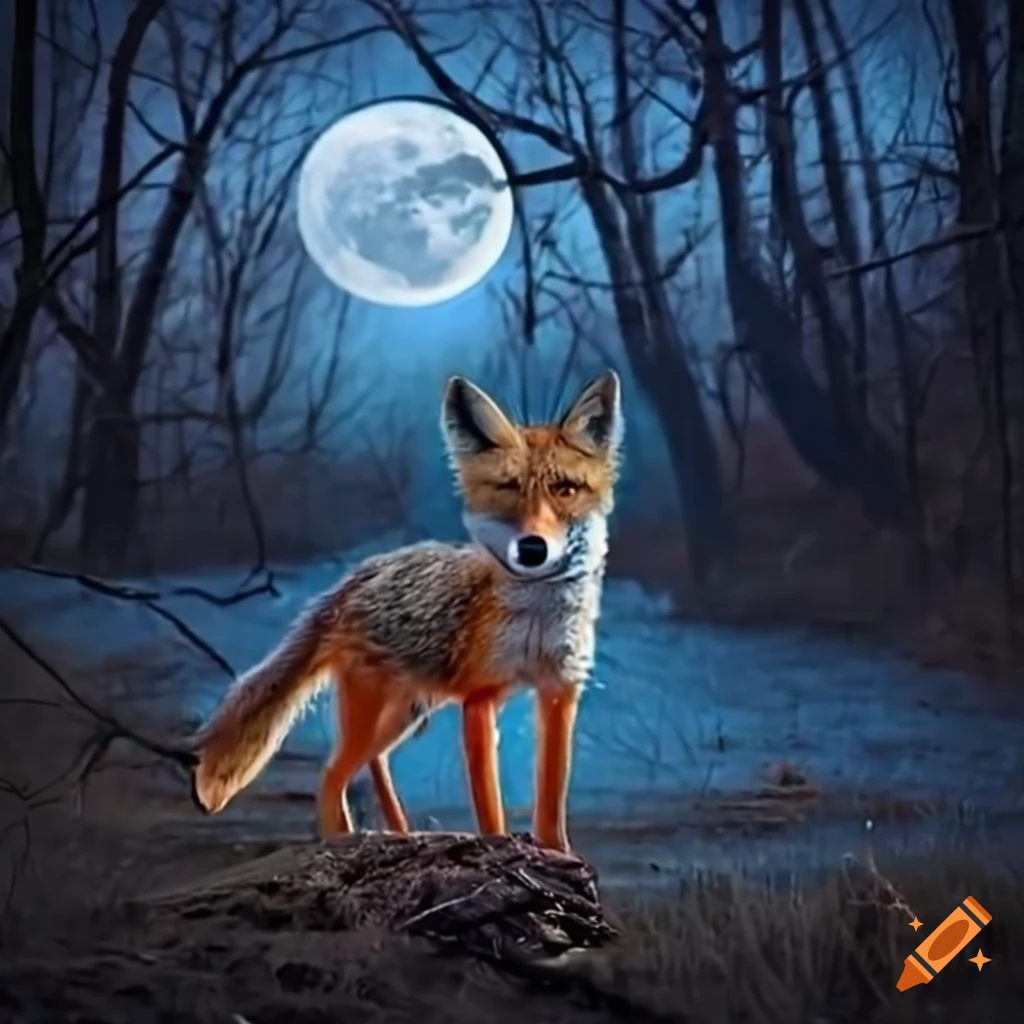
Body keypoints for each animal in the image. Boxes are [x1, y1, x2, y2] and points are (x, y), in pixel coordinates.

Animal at [190, 369, 623, 853]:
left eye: (566, 489)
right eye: (508, 489)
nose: (532, 549)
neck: (539, 618)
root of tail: (361, 574)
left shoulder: (559, 690)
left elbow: (551, 800)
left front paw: (555, 853)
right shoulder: (480, 697)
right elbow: (489, 807)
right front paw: (498, 846)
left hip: (407, 712)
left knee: (371, 760)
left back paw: (398, 830)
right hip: (378, 711)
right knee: (332, 773)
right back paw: (342, 838)